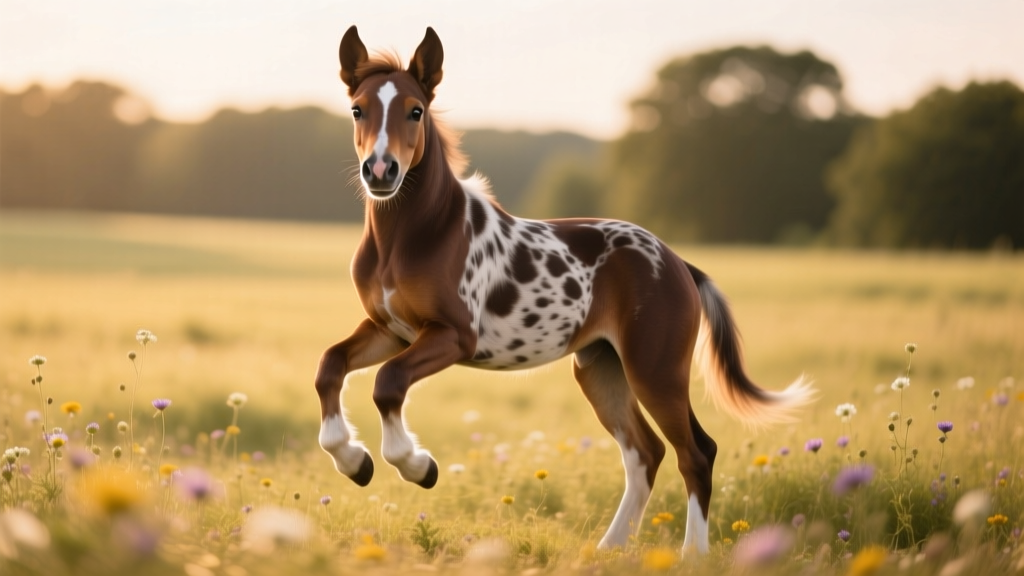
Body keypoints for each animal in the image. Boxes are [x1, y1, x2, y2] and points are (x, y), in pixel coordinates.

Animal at [314, 25, 815, 554]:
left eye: (415, 110)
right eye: (358, 110)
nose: (381, 171)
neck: (414, 236)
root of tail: (679, 265)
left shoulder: (452, 336)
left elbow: (387, 382)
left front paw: (417, 466)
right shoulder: (391, 330)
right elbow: (330, 366)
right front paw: (354, 461)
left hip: (655, 371)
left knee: (696, 452)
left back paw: (690, 556)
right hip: (601, 368)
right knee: (646, 452)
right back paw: (609, 551)